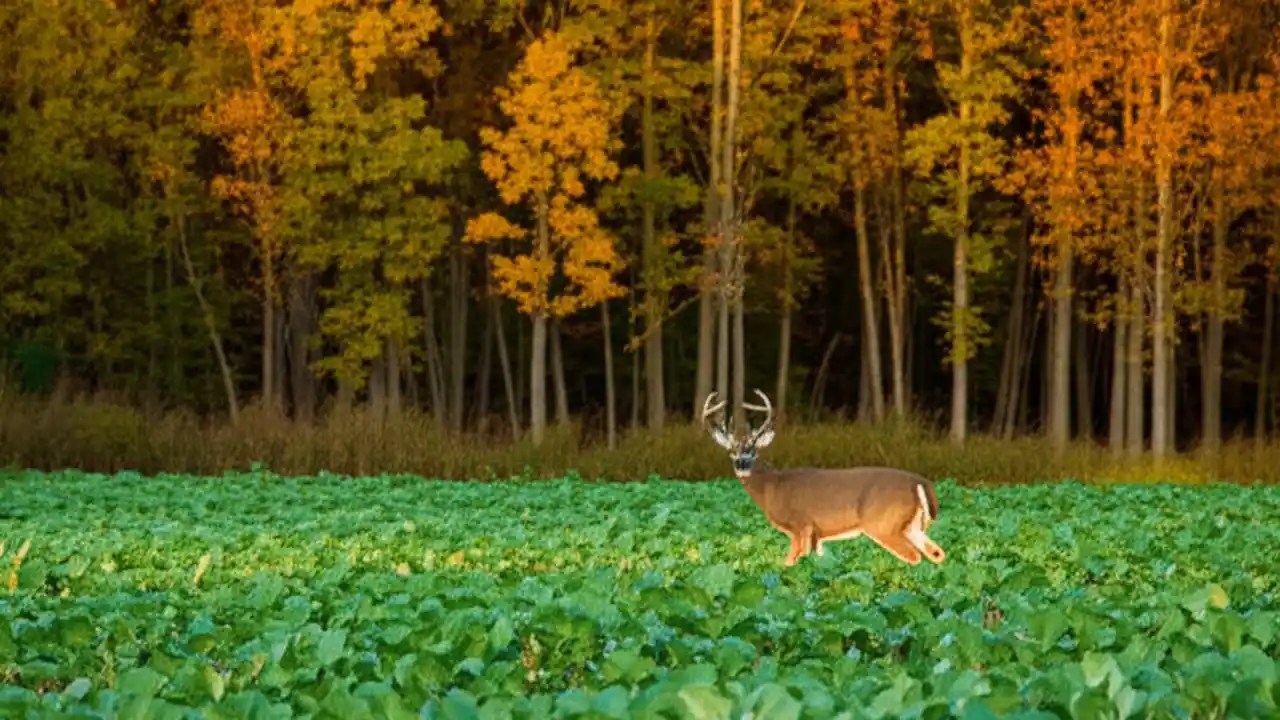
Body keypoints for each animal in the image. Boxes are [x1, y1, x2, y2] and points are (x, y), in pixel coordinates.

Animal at [701, 389, 945, 568]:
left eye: (753, 452)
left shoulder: (801, 525)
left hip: (884, 523)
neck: (772, 486)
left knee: (913, 557)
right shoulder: (816, 534)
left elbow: (790, 563)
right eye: (731, 452)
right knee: (936, 554)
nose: (741, 465)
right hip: (911, 525)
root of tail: (921, 482)